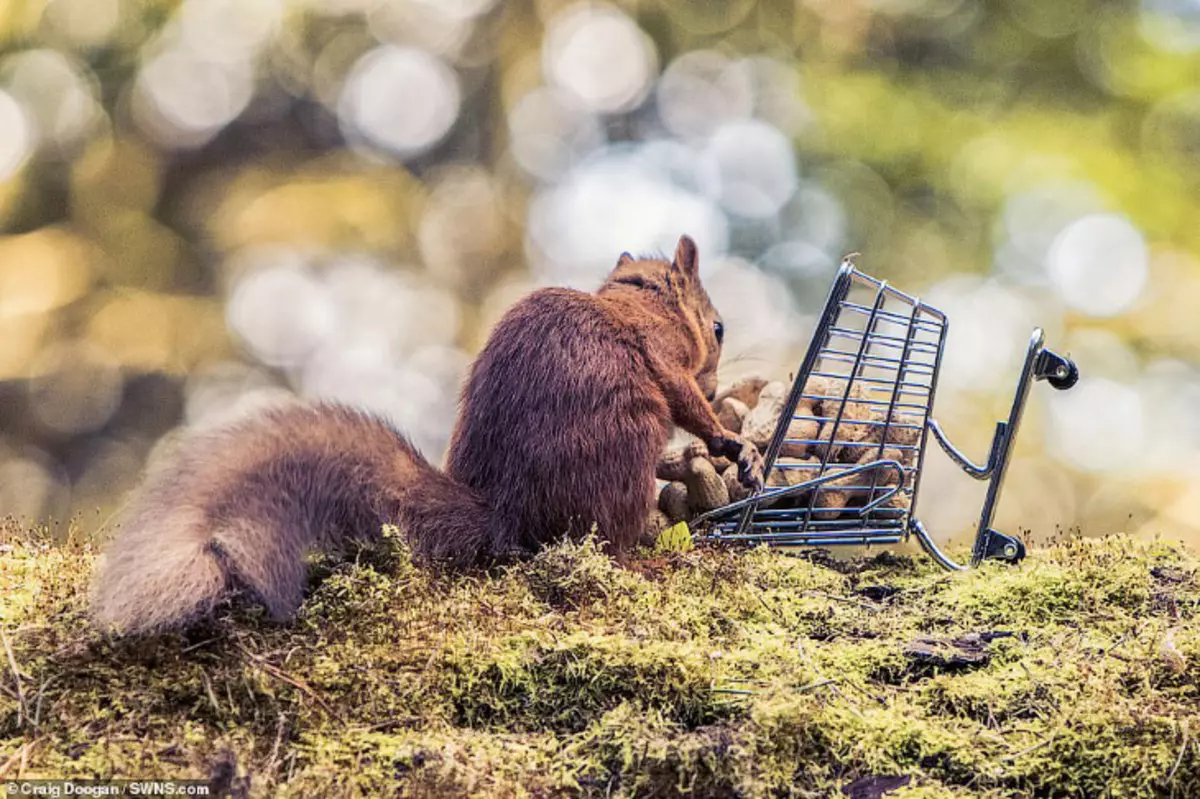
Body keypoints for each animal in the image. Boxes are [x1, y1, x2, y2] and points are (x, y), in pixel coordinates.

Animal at [88, 233, 763, 633]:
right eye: (719, 327)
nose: (719, 378)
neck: (639, 301)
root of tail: (506, 519)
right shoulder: (663, 357)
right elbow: (687, 401)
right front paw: (730, 444)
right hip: (618, 463)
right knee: (606, 546)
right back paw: (650, 551)